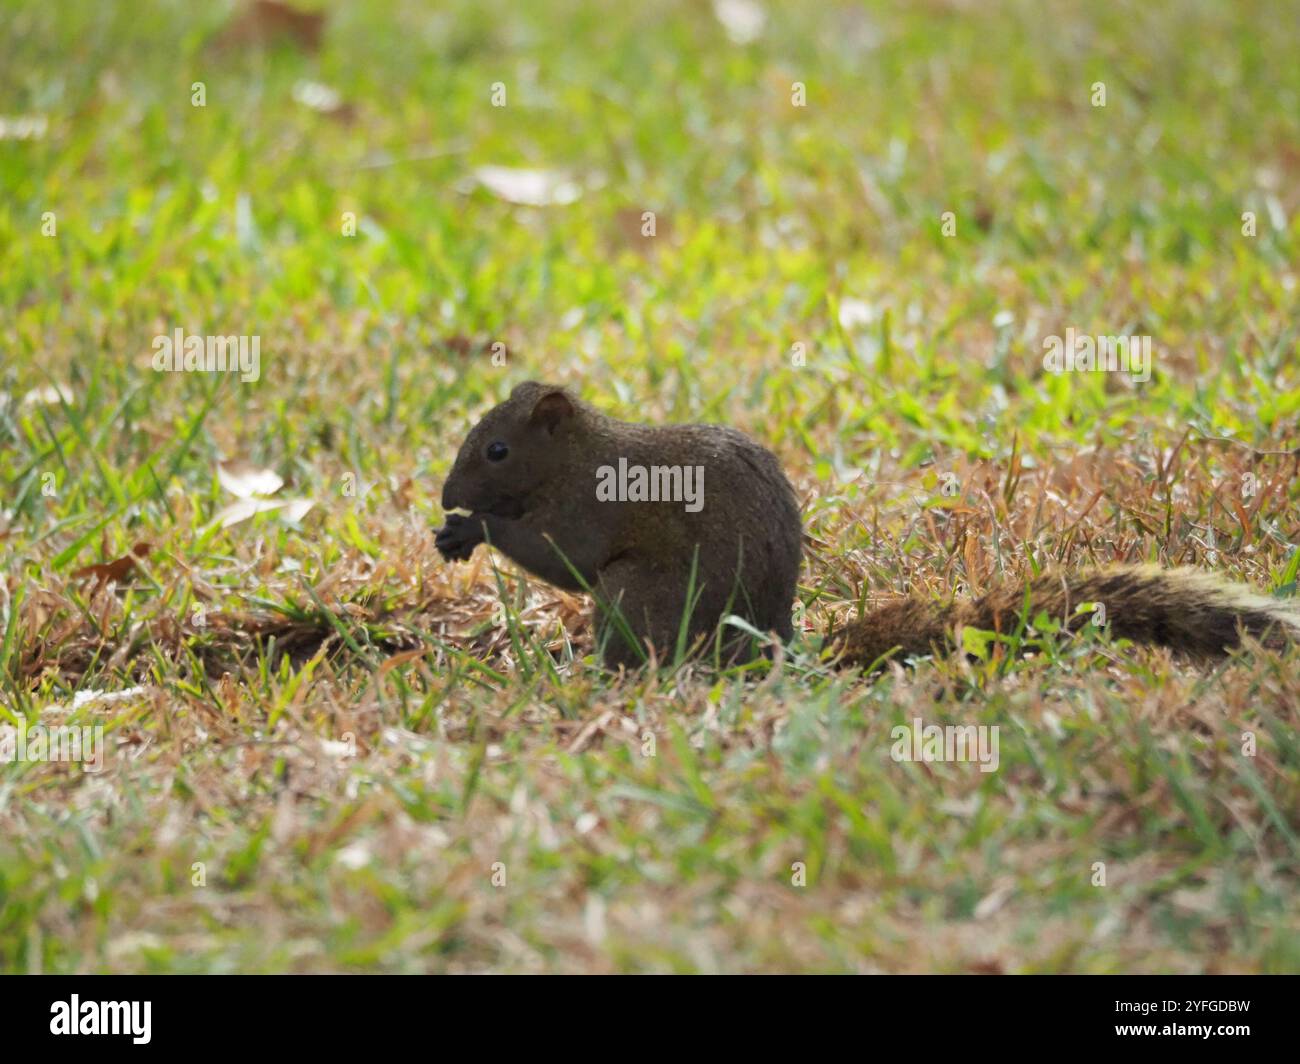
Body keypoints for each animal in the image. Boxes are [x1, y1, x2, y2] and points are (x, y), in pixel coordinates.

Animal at [437, 381, 1300, 670]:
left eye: (497, 448)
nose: (446, 491)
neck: (574, 456)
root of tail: (770, 644)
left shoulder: (590, 507)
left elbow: (560, 556)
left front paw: (471, 529)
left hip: (636, 597)